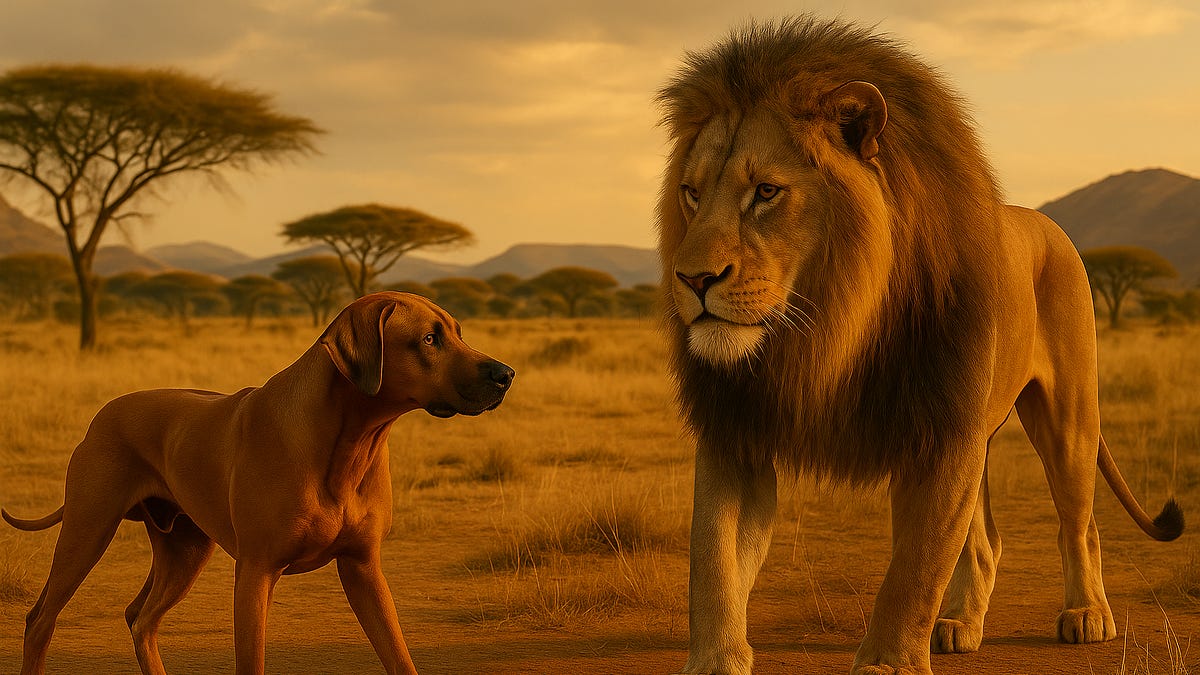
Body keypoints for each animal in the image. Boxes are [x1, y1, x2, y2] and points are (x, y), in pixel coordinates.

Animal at [654, 16, 1184, 675]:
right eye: (692, 193)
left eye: (767, 192)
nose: (693, 279)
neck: (826, 329)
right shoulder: (736, 430)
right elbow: (715, 563)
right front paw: (715, 660)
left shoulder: (940, 429)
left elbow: (913, 571)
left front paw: (888, 663)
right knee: (984, 542)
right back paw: (958, 624)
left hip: (1067, 417)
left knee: (1077, 523)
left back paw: (1087, 615)